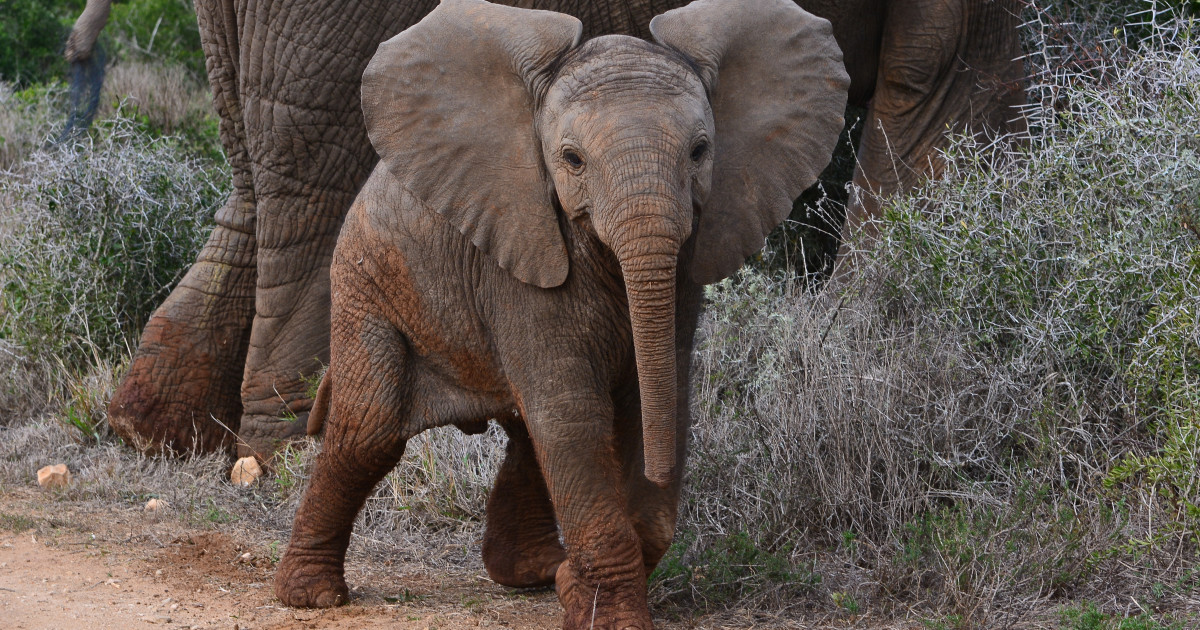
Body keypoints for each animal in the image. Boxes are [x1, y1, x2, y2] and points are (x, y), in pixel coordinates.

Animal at [62, 0, 1025, 460]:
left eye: (705, 150)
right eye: (566, 156)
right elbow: (952, 75)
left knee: (258, 176)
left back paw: (155, 432)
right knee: (315, 167)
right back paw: (288, 457)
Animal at [270, 1, 847, 627]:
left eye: (699, 152)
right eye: (571, 160)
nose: (661, 473)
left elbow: (649, 398)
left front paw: (575, 584)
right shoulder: (519, 254)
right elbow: (572, 410)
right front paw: (607, 616)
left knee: (523, 433)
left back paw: (530, 574)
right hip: (365, 281)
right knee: (368, 431)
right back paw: (311, 596)